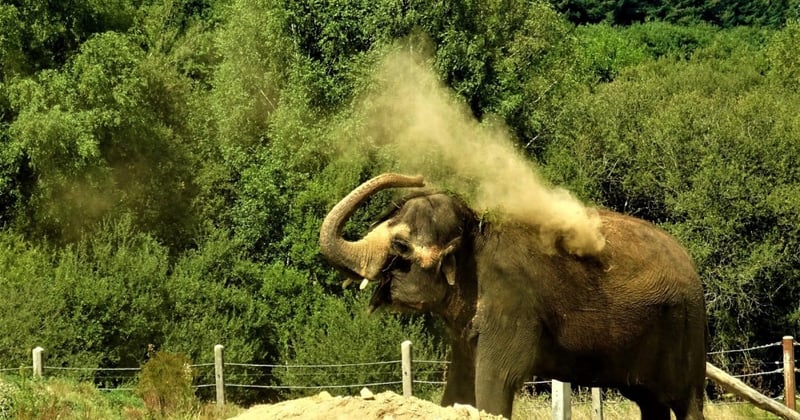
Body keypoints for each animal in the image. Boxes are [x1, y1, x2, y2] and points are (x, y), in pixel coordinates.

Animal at [319, 173, 707, 419]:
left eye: (400, 247)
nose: (417, 176)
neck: (474, 230)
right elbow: (460, 385)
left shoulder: (513, 304)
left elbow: (496, 382)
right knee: (650, 403)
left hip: (686, 330)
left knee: (686, 402)